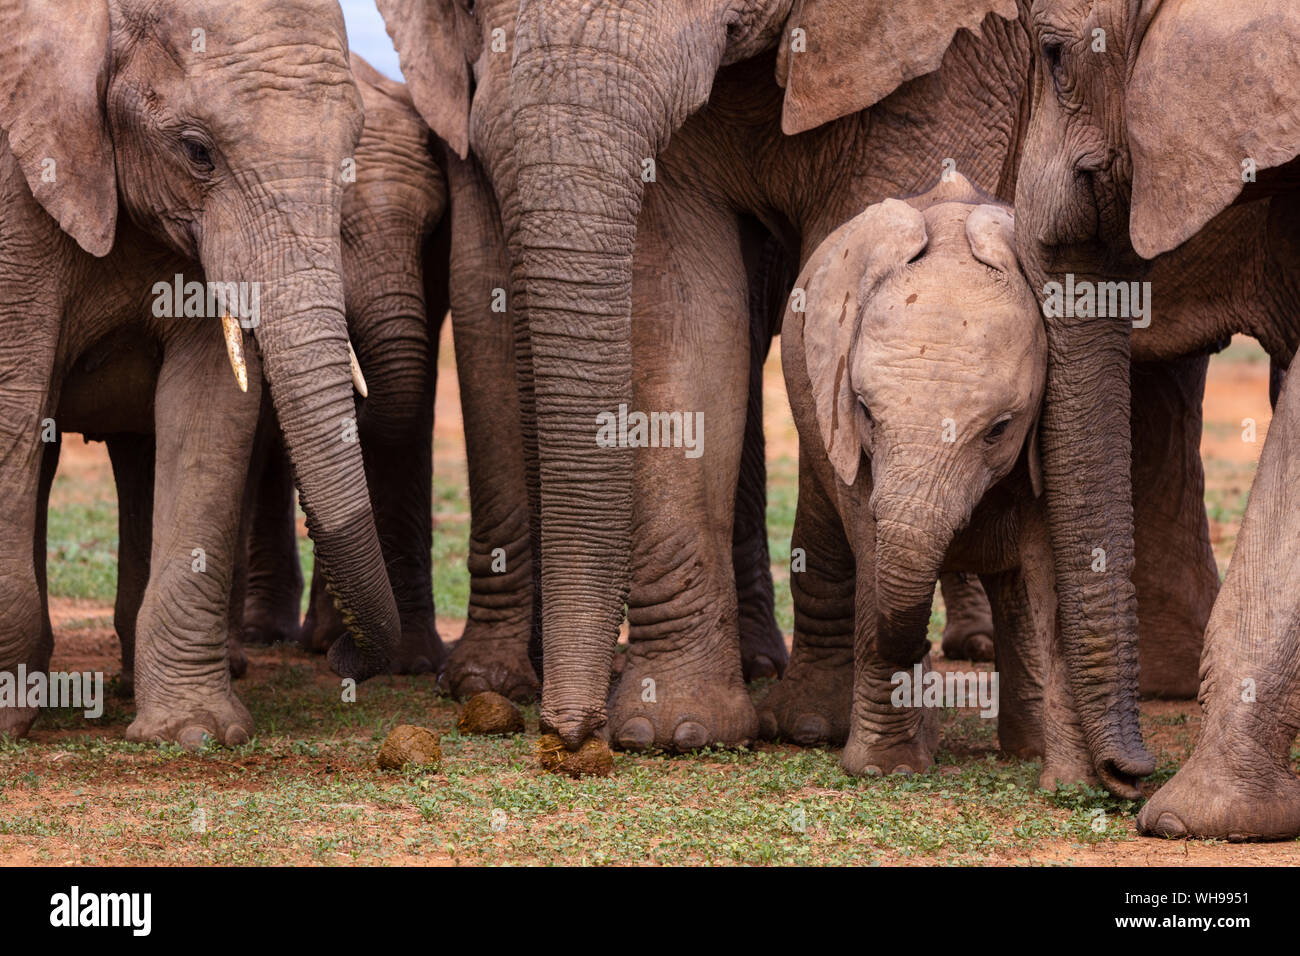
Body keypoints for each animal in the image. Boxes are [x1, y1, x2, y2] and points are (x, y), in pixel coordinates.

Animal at [0, 0, 399, 746]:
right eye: (197, 150)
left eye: (351, 153)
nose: (345, 658)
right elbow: (12, 397)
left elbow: (209, 415)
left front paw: (195, 732)